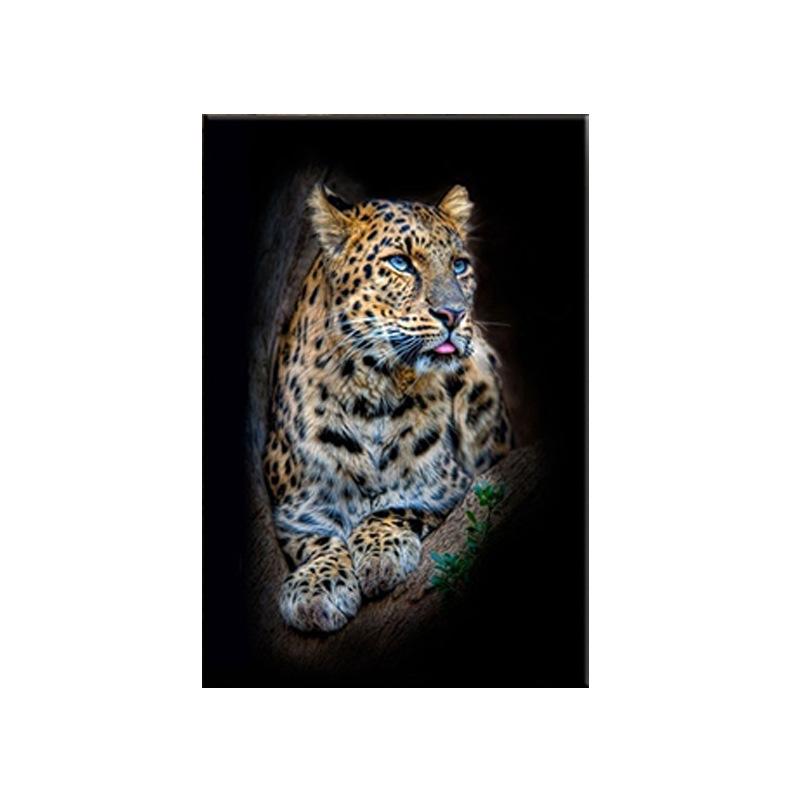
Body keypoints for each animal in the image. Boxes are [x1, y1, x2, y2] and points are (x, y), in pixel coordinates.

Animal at [263, 183, 513, 633]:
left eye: (460, 265)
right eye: (400, 262)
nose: (454, 314)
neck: (371, 394)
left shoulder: (450, 486)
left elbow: (396, 508)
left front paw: (381, 554)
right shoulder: (294, 509)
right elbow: (316, 540)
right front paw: (316, 586)